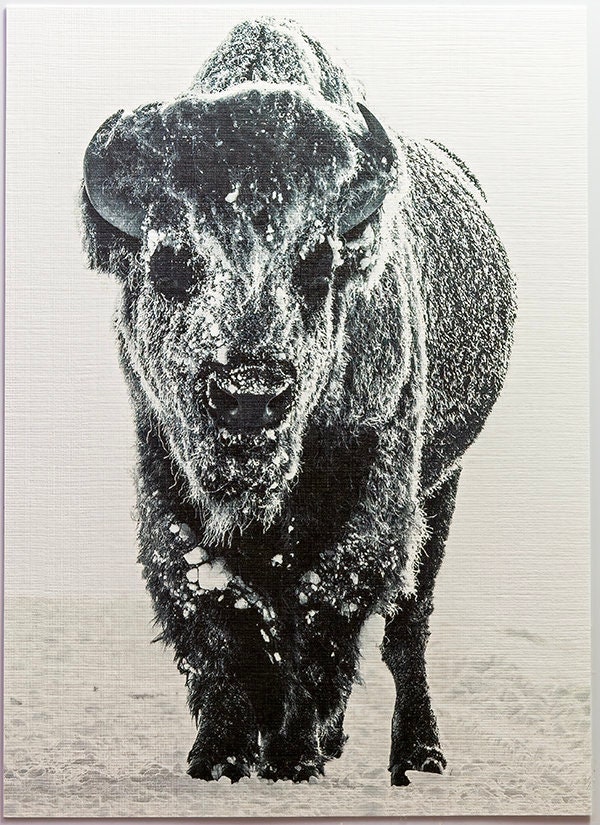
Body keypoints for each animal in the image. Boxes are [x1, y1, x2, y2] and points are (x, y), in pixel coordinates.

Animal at [81, 17, 516, 785]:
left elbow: (323, 611)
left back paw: (418, 752)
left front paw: (292, 756)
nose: (250, 396)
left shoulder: (370, 497)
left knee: (407, 624)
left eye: (317, 267)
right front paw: (221, 754)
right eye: (169, 263)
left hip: (442, 488)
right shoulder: (169, 487)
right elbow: (219, 611)